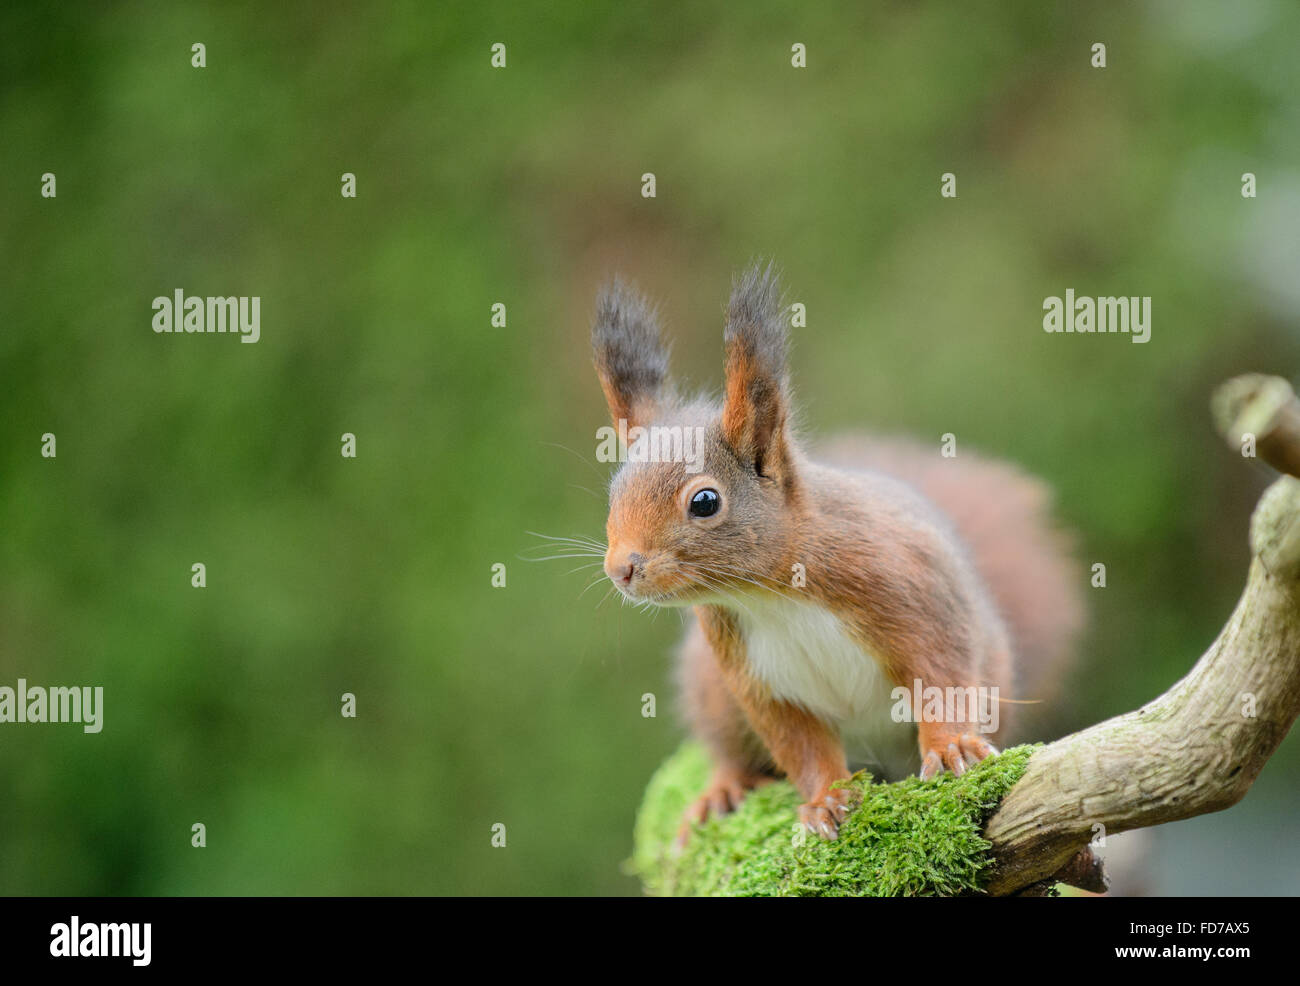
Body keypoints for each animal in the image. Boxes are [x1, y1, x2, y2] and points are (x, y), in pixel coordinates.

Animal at [590, 263, 1084, 842]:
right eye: (614, 492)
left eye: (705, 501)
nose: (621, 569)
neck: (772, 595)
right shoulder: (757, 679)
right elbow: (799, 745)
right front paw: (826, 799)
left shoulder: (912, 590)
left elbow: (943, 674)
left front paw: (950, 748)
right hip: (710, 688)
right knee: (729, 748)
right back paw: (723, 789)